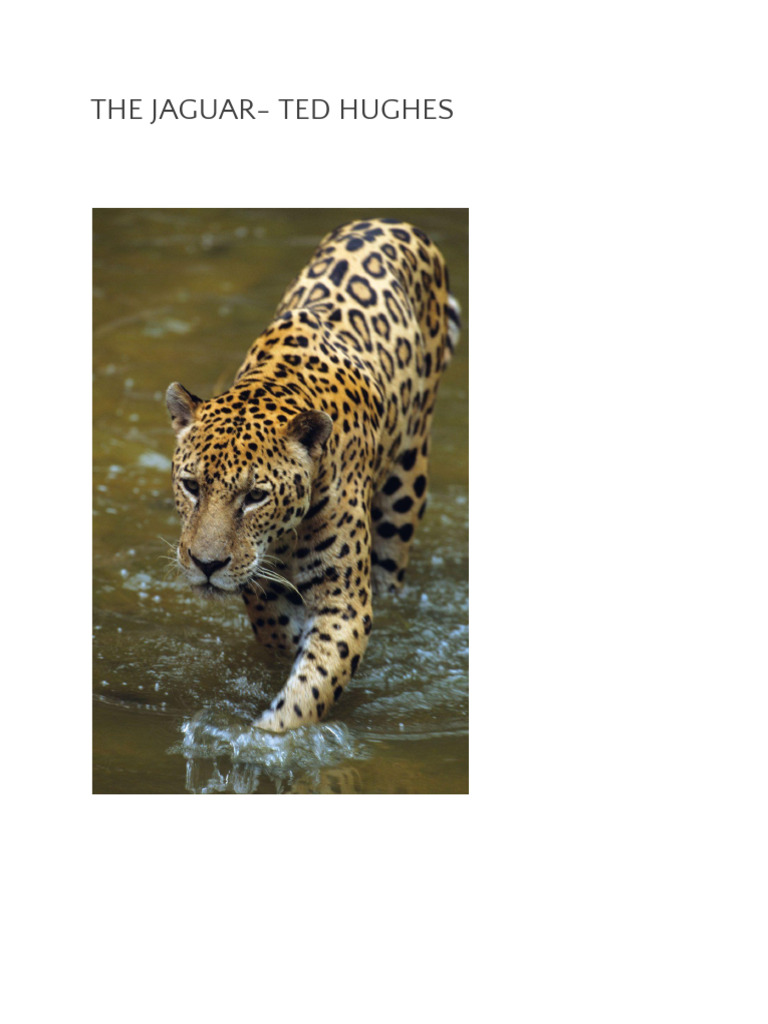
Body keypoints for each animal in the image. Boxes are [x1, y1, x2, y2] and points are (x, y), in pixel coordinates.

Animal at [166, 217, 461, 732]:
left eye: (255, 496)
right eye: (191, 486)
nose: (206, 565)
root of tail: (393, 222)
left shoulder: (345, 603)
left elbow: (312, 686)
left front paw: (269, 737)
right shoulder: (260, 580)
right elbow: (276, 630)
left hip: (404, 491)